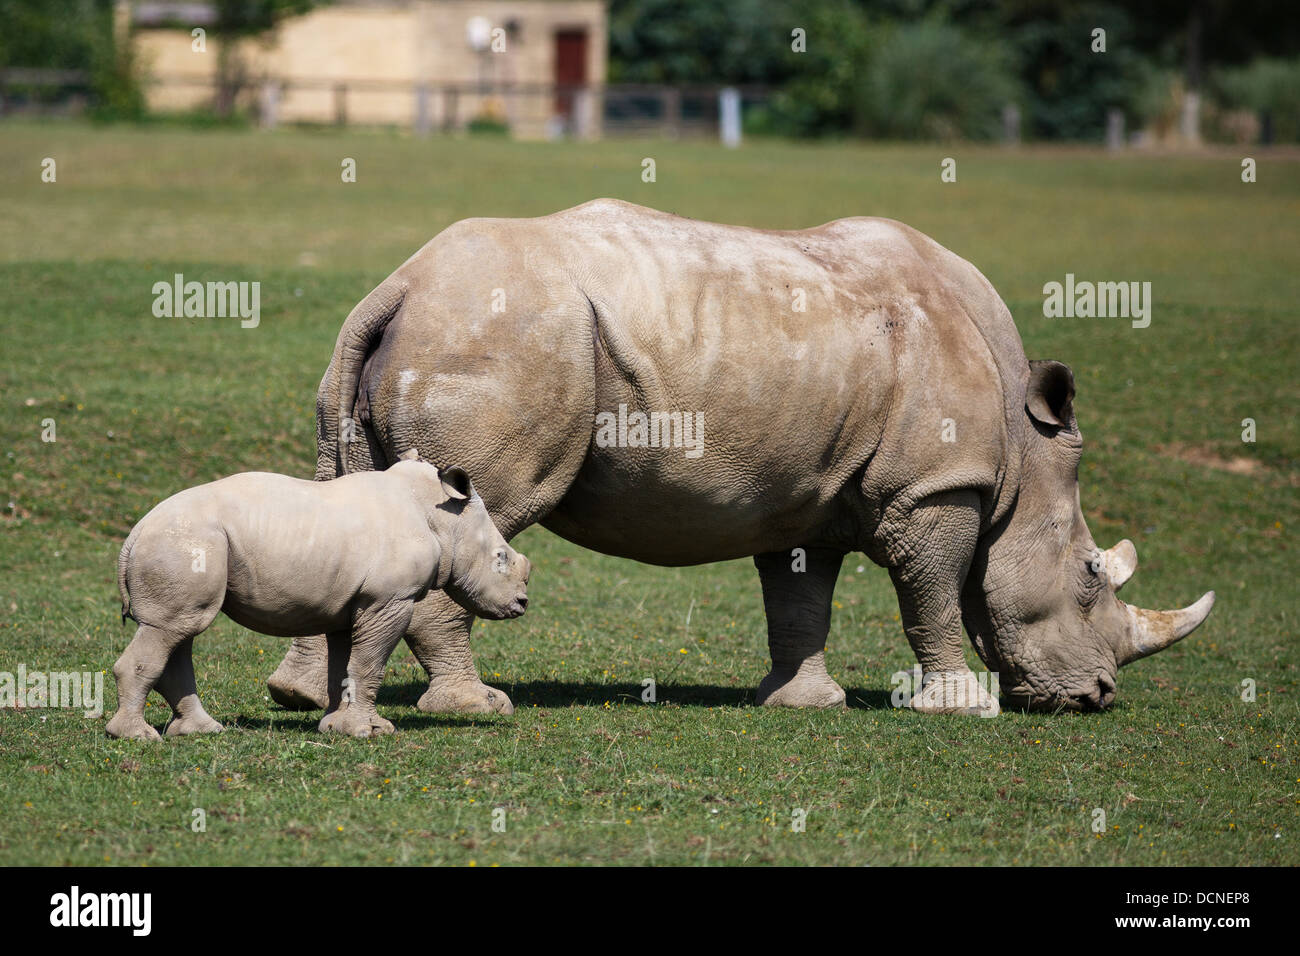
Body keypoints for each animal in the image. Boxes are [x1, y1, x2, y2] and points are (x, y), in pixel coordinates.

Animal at [108, 456, 530, 740]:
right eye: (500, 558)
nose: (522, 604)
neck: (444, 518)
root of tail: (133, 535)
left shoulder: (351, 606)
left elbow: (343, 665)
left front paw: (339, 726)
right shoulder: (391, 599)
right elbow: (369, 663)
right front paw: (366, 732)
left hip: (186, 544)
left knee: (179, 631)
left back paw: (202, 731)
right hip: (186, 542)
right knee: (173, 630)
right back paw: (138, 736)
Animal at [266, 199, 1214, 717]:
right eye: (1090, 574)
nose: (1097, 698)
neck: (1023, 449)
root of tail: (400, 283)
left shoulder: (810, 488)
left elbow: (801, 597)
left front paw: (804, 704)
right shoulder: (936, 487)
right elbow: (934, 594)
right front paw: (960, 706)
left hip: (421, 339)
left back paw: (305, 700)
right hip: (498, 338)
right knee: (473, 512)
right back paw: (475, 707)